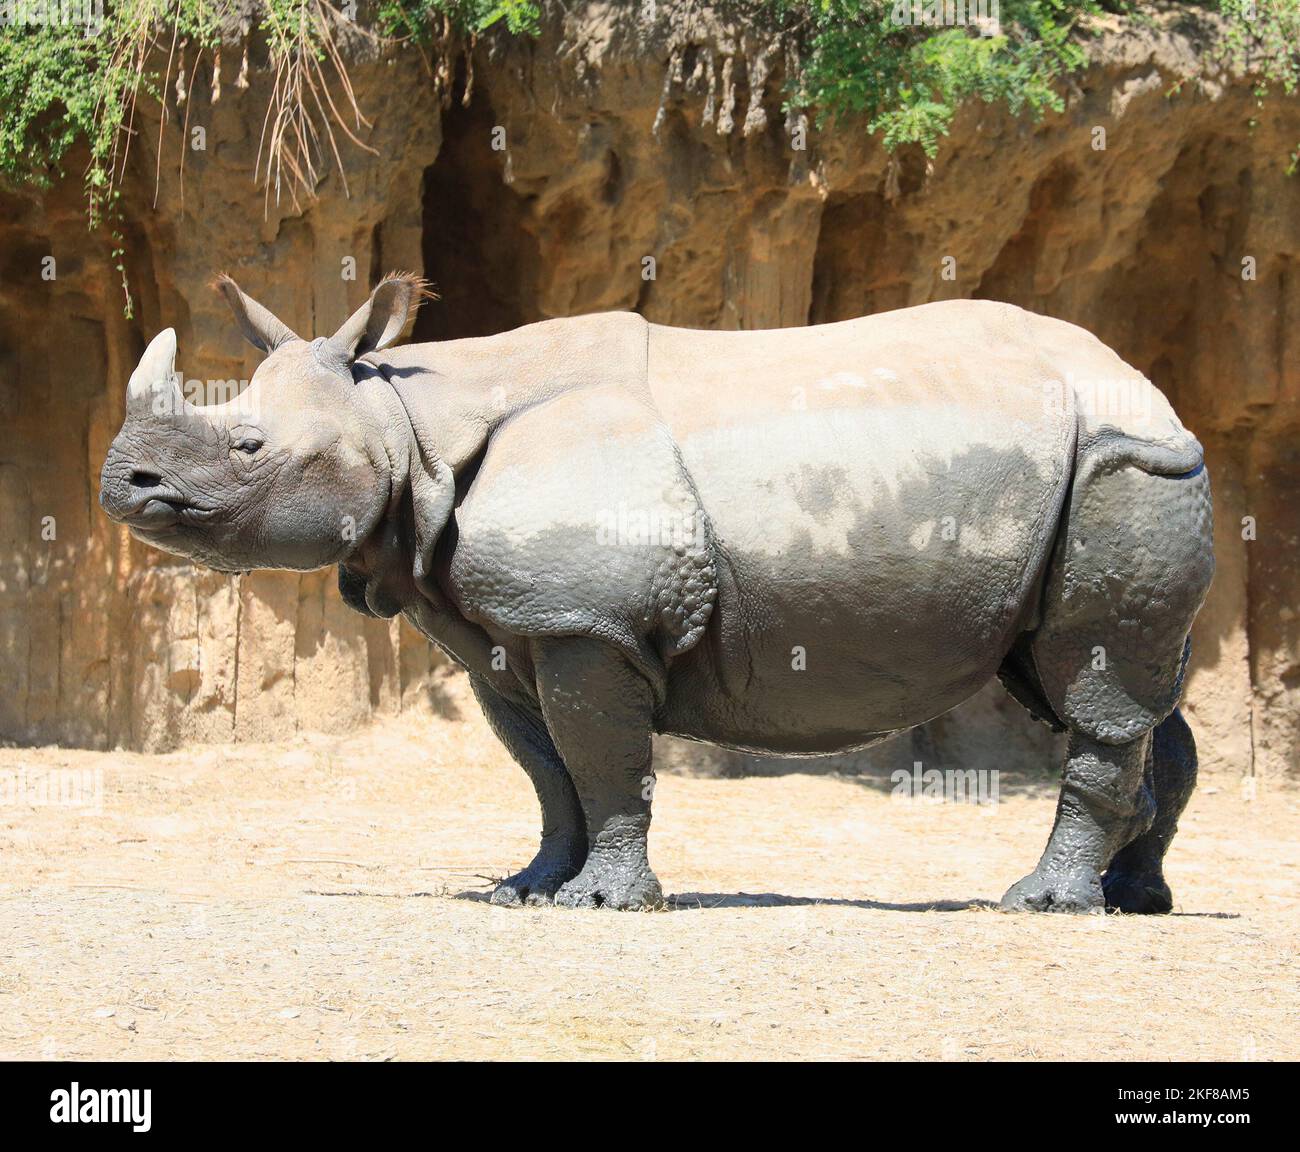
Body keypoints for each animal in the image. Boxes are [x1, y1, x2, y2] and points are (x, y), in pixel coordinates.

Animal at [99, 273, 1214, 914]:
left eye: (248, 447)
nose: (122, 483)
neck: (404, 419)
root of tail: (1156, 390)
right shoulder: (508, 629)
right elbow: (546, 770)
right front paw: (526, 892)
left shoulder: (585, 621)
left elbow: (602, 760)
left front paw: (605, 904)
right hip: (1103, 466)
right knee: (1097, 684)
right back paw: (1134, 899)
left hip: (1125, 461)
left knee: (1093, 683)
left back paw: (1039, 903)